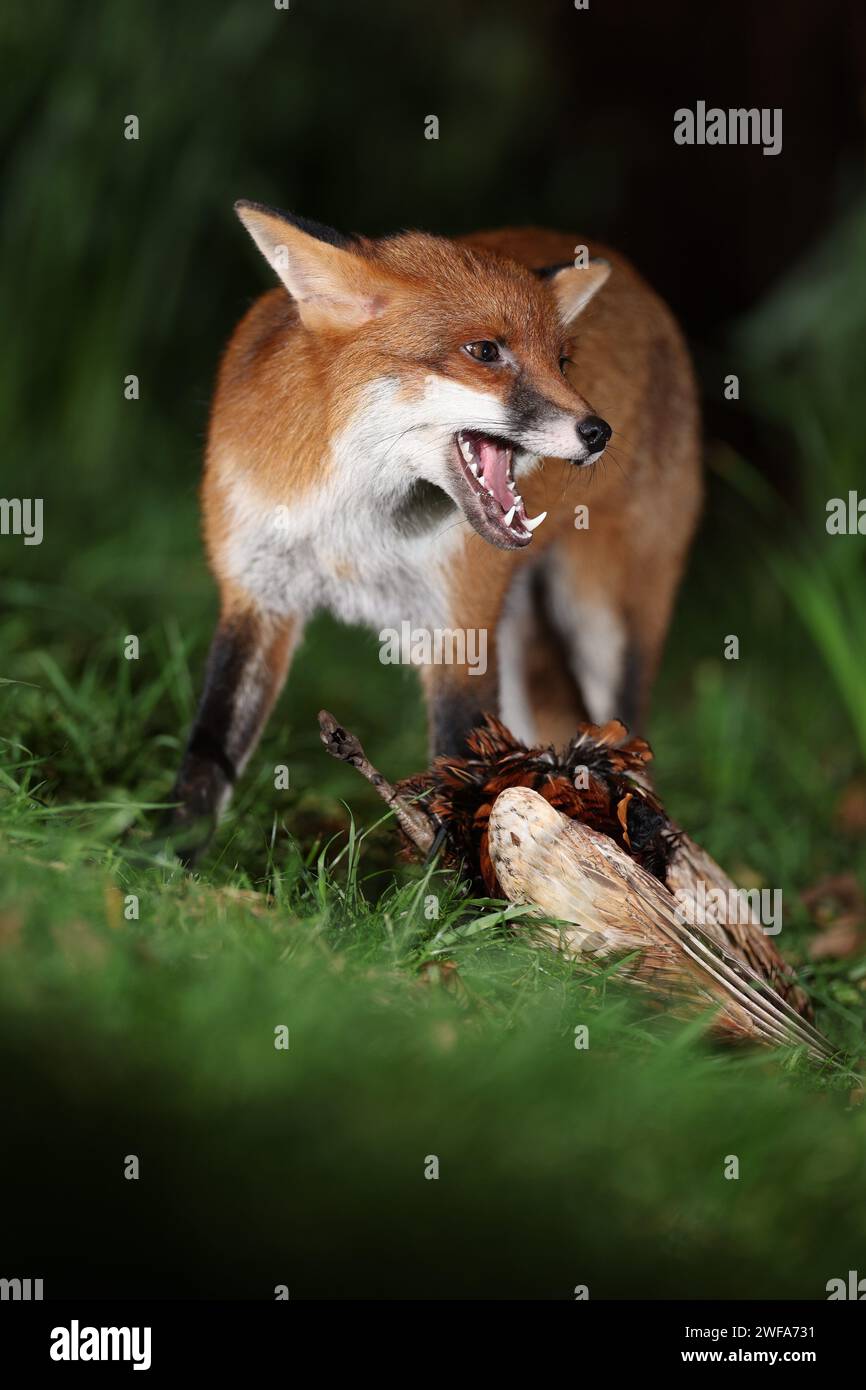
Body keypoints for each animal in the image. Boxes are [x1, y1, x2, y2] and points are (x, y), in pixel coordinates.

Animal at [169, 202, 701, 848]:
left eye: (562, 362)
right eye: (484, 351)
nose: (599, 433)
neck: (354, 532)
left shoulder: (459, 627)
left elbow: (460, 774)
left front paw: (455, 878)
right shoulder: (256, 595)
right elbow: (206, 758)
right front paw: (163, 856)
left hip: (604, 625)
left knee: (631, 754)